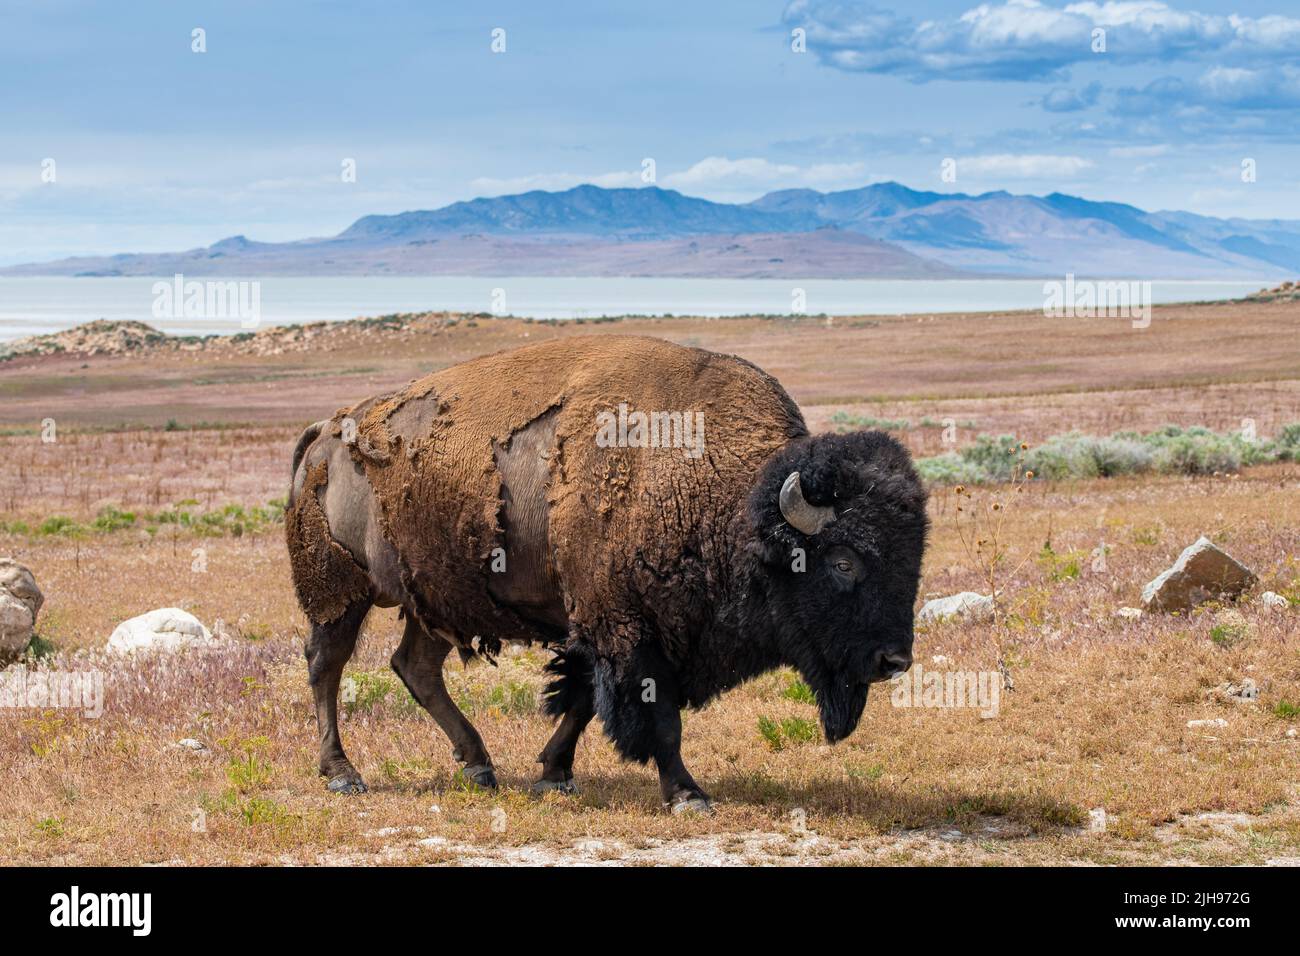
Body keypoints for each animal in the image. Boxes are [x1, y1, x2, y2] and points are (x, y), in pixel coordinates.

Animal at [286, 335, 927, 812]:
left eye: (913, 558)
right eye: (843, 562)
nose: (894, 660)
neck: (729, 497)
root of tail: (326, 431)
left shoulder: (600, 631)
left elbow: (580, 703)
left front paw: (554, 775)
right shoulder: (626, 631)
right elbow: (656, 719)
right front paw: (687, 794)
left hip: (439, 598)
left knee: (414, 667)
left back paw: (479, 766)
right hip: (339, 592)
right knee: (326, 666)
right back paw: (343, 773)